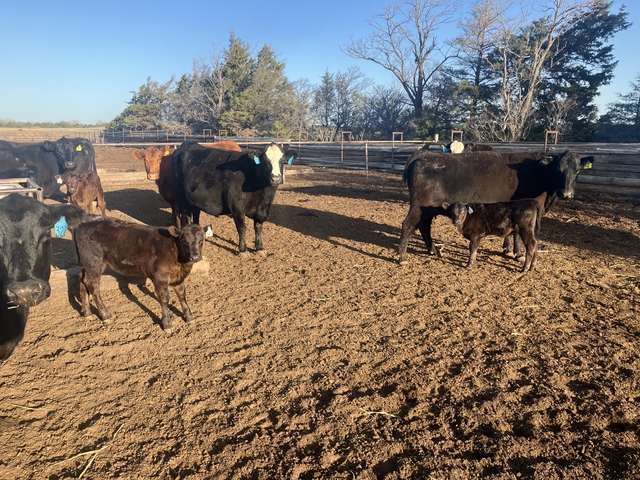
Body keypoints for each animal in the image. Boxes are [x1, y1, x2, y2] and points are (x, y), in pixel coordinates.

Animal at [74, 217, 208, 333]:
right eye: (184, 241)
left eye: (201, 240)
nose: (195, 257)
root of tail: (82, 224)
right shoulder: (160, 277)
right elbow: (164, 298)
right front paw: (167, 324)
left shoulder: (178, 277)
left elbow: (182, 295)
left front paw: (189, 317)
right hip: (94, 261)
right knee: (93, 286)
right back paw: (105, 315)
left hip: (90, 263)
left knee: (83, 278)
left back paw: (87, 313)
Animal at [398, 150, 595, 264]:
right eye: (558, 170)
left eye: (578, 170)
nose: (567, 193)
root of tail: (424, 155)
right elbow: (516, 234)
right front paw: (517, 253)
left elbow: (509, 231)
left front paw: (507, 249)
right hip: (419, 206)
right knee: (408, 225)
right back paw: (402, 258)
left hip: (427, 209)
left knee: (423, 227)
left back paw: (434, 251)